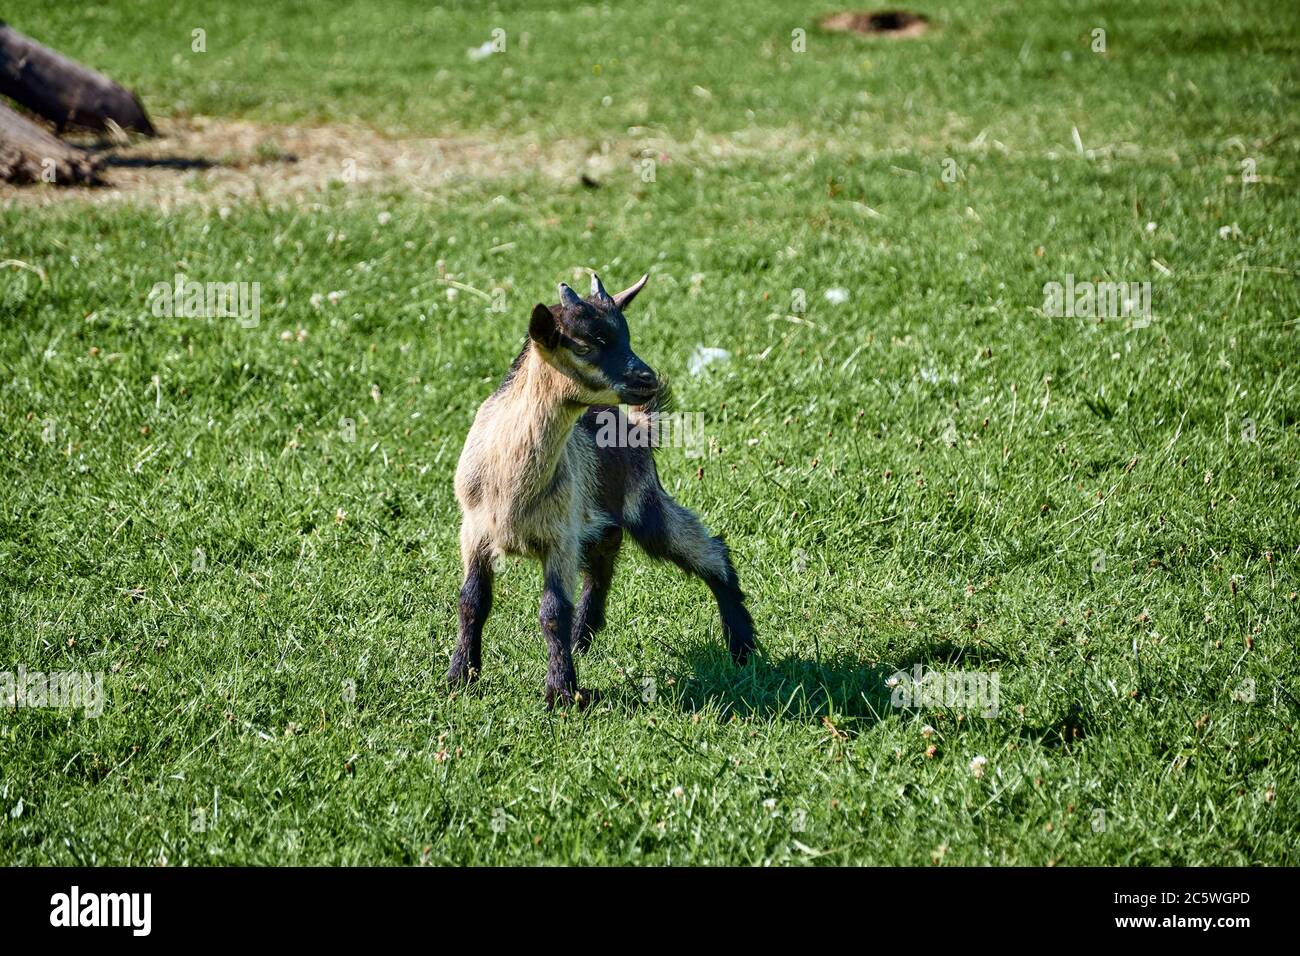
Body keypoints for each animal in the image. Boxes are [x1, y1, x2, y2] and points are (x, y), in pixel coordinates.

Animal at [449, 273, 755, 706]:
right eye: (584, 345)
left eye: (626, 335)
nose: (646, 379)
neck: (508, 478)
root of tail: (638, 429)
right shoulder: (474, 530)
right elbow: (472, 602)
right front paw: (460, 678)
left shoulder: (559, 535)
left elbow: (552, 612)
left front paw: (561, 692)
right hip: (600, 514)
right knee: (604, 555)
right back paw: (583, 637)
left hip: (644, 500)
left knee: (709, 550)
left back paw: (742, 646)